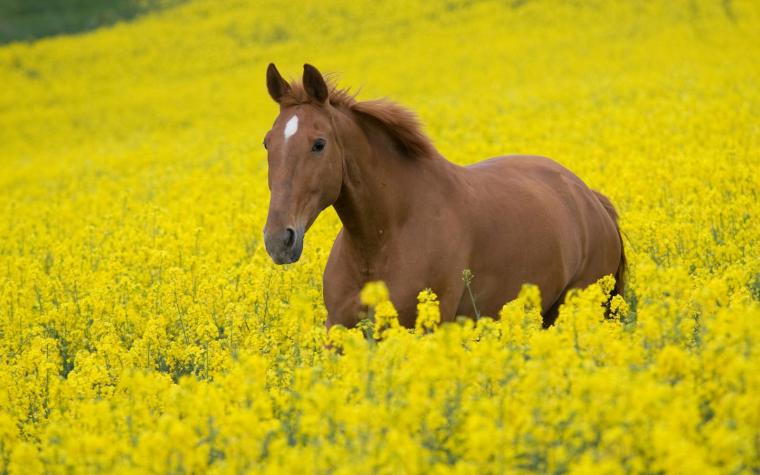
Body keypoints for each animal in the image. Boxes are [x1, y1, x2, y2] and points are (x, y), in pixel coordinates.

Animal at [262, 63, 625, 329]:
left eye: (318, 144)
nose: (279, 240)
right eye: (268, 142)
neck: (382, 239)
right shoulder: (338, 329)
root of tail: (590, 198)